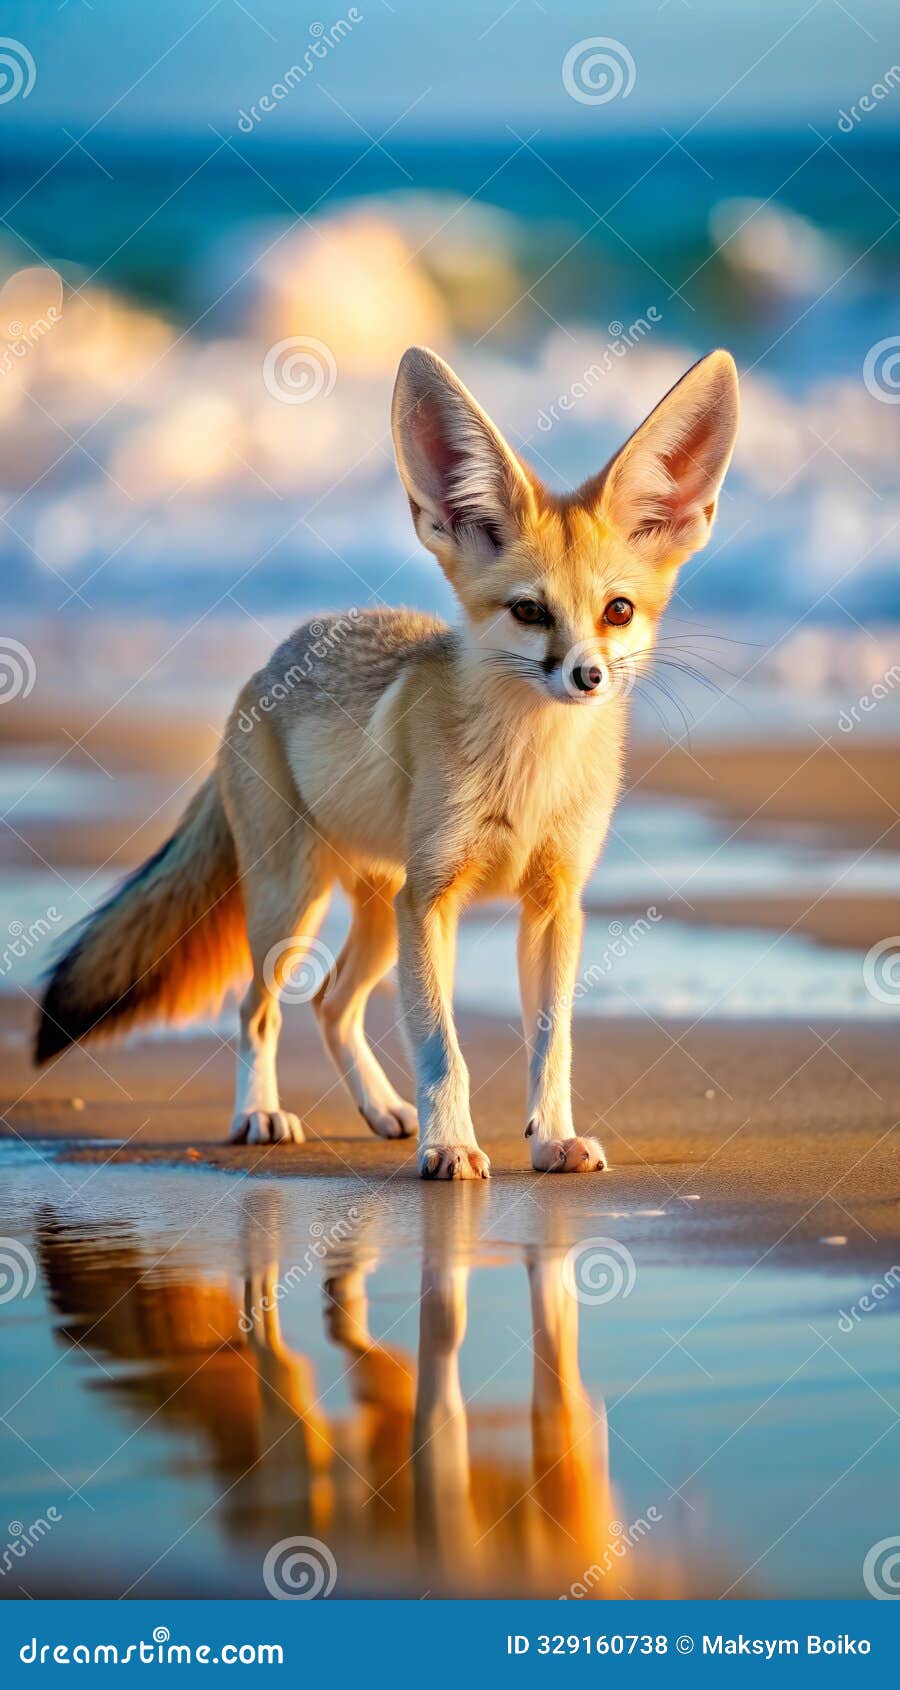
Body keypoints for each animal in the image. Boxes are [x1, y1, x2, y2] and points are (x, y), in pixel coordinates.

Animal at [34, 344, 739, 1180]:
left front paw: (551, 1137)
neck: (527, 778)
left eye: (618, 611)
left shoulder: (552, 904)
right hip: (294, 908)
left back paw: (380, 1110)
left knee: (333, 1004)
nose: (586, 676)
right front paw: (452, 1145)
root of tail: (269, 666)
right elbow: (443, 1048)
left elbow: (551, 1046)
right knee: (258, 1010)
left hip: (376, 915)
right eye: (529, 612)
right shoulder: (431, 900)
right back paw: (260, 1114)